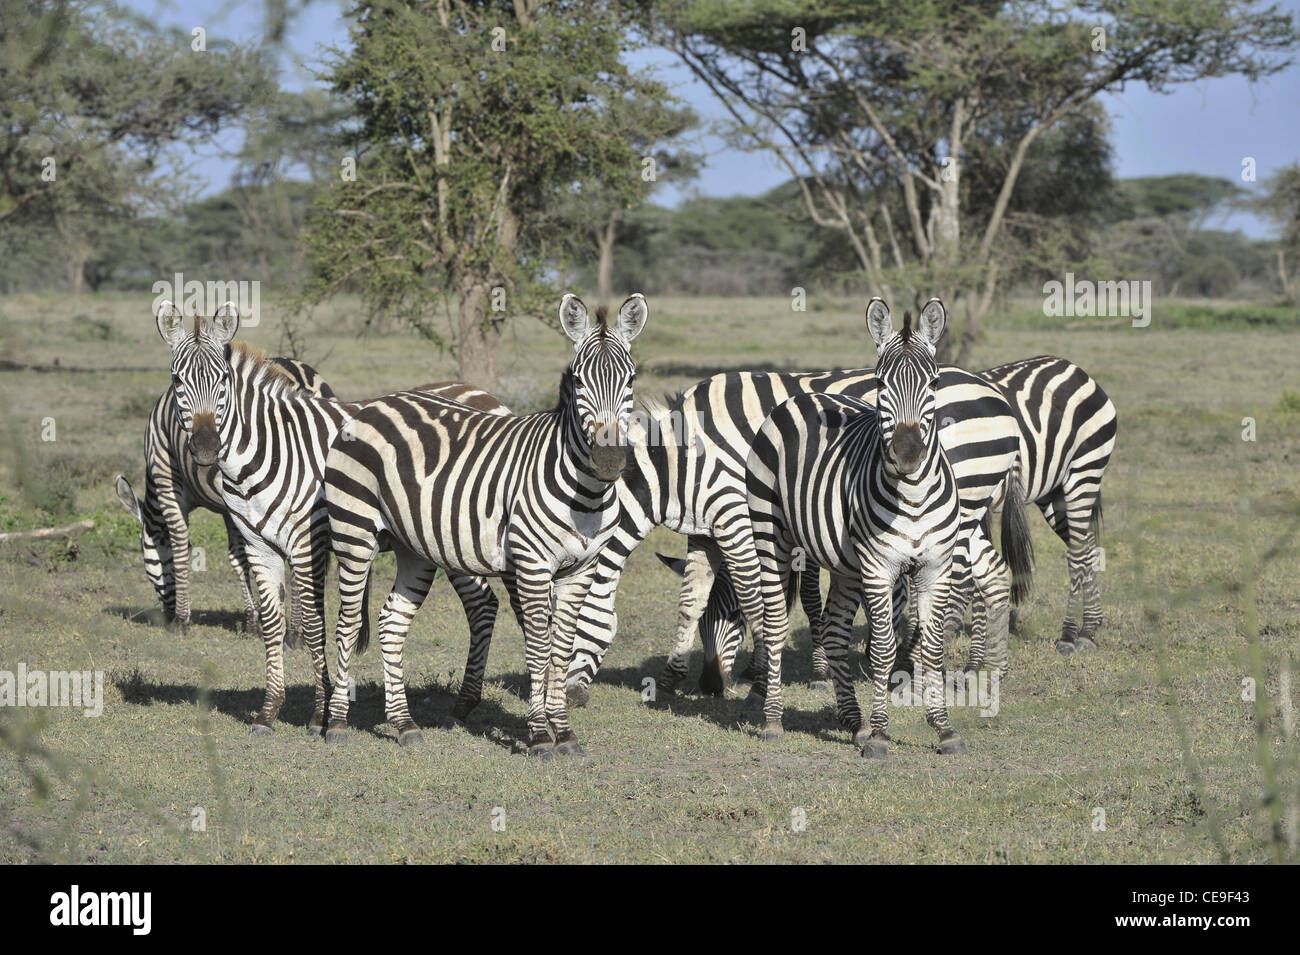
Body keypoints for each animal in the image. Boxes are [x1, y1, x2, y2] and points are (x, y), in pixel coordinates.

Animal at [114, 358, 333, 635]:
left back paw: (295, 630)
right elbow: (238, 557)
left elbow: (184, 546)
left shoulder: (168, 485)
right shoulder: (232, 507)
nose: (165, 616)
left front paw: (184, 619)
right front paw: (254, 619)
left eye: (145, 551)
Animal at [155, 299, 508, 737]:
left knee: (482, 605)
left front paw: (320, 714)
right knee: (483, 605)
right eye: (176, 380)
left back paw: (466, 705)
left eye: (222, 381)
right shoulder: (258, 545)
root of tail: (491, 399)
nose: (205, 448)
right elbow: (272, 624)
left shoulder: (310, 542)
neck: (270, 448)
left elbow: (312, 623)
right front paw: (268, 712)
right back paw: (464, 705)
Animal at [322, 293, 649, 757]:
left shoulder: (581, 569)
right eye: (578, 381)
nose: (608, 462)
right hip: (354, 533)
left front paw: (564, 732)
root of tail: (376, 404)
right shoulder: (532, 565)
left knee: (391, 623)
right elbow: (538, 645)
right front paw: (539, 735)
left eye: (631, 379)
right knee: (349, 623)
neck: (584, 494)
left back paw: (404, 725)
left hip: (412, 548)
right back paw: (336, 723)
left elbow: (561, 647)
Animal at [563, 346, 1026, 704]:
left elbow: (762, 597)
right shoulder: (707, 529)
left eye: (575, 621)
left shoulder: (736, 514)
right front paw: (671, 678)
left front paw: (766, 678)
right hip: (958, 513)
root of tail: (993, 393)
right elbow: (693, 597)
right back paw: (986, 671)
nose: (711, 687)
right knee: (995, 574)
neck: (685, 462)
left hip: (954, 508)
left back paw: (917, 672)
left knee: (962, 582)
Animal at [746, 297, 965, 757]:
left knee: (832, 631)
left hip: (846, 563)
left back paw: (853, 721)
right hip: (770, 534)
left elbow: (932, 648)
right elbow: (882, 649)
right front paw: (880, 735)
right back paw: (773, 720)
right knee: (774, 623)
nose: (908, 455)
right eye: (880, 384)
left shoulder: (936, 567)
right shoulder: (879, 568)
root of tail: (804, 395)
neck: (912, 496)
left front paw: (943, 728)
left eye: (935, 383)